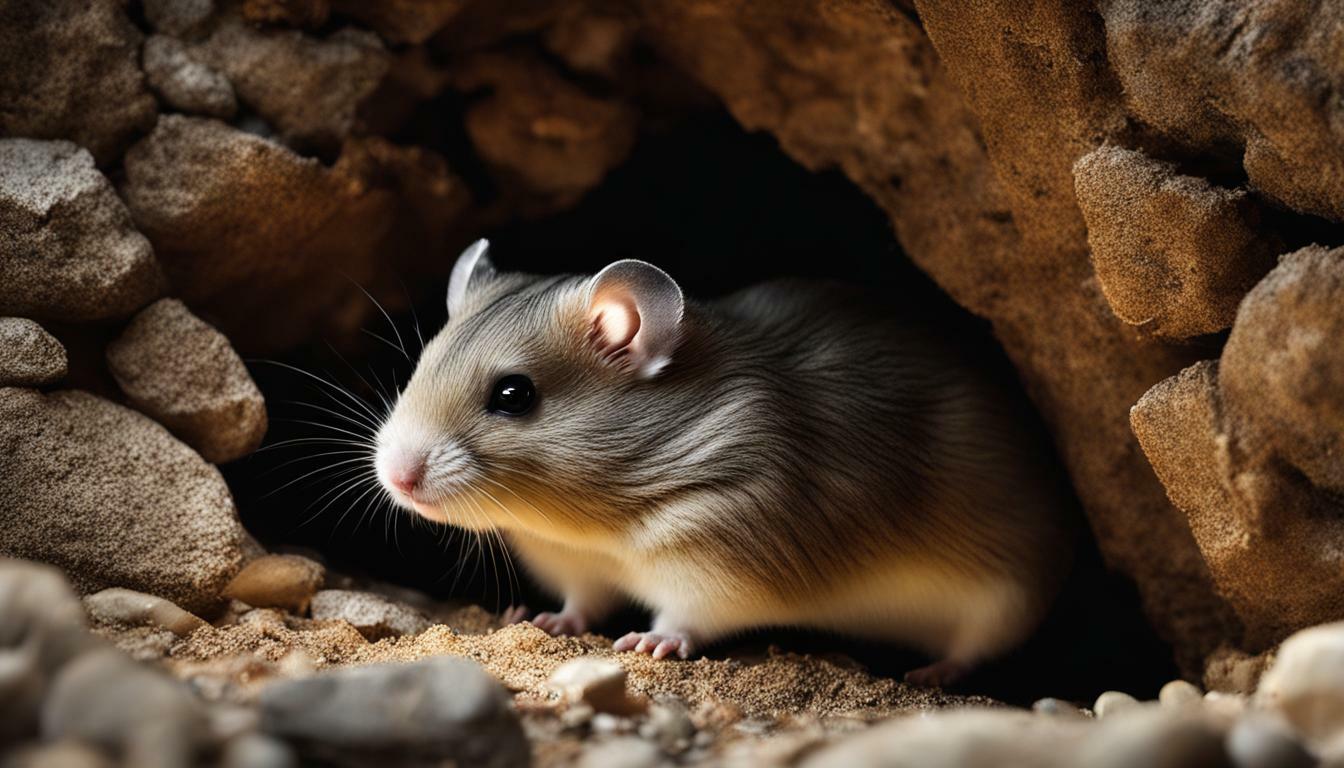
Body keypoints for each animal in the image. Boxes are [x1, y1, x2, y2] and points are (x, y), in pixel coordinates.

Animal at [375, 239, 1072, 686]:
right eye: (423, 363)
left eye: (514, 395)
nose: (395, 478)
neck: (598, 523)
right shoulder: (578, 567)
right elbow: (582, 604)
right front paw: (542, 620)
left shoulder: (721, 558)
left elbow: (686, 617)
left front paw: (649, 641)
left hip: (1005, 596)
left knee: (977, 648)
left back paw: (933, 674)